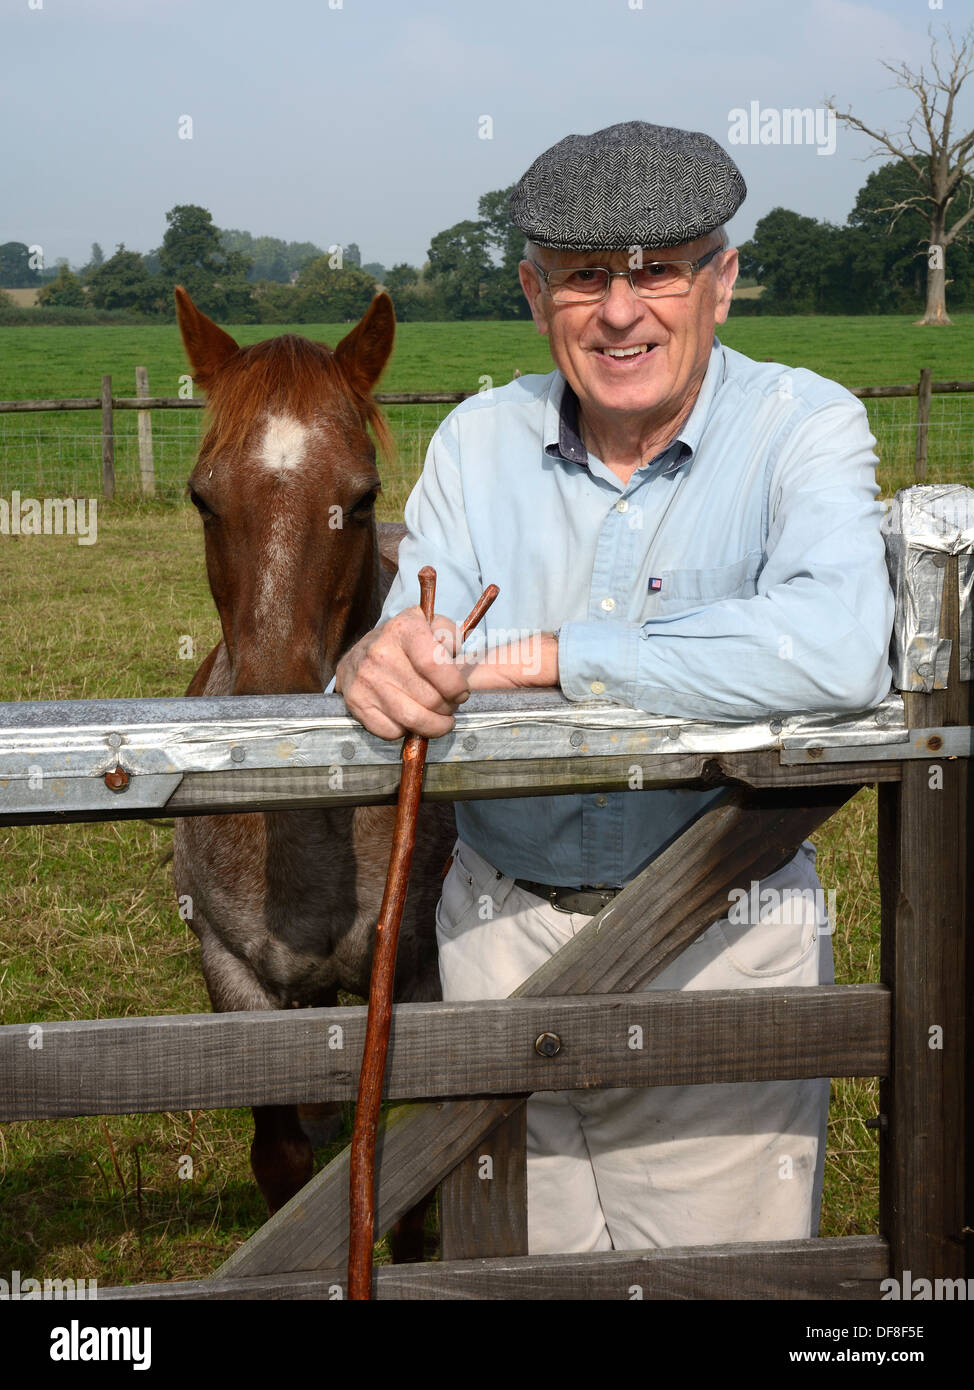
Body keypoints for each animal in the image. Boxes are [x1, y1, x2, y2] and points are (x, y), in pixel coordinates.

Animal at [171, 286, 455, 1258]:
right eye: (202, 499)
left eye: (360, 501)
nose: (268, 710)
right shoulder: (234, 977)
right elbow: (283, 1161)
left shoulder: (414, 980)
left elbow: (410, 1186)